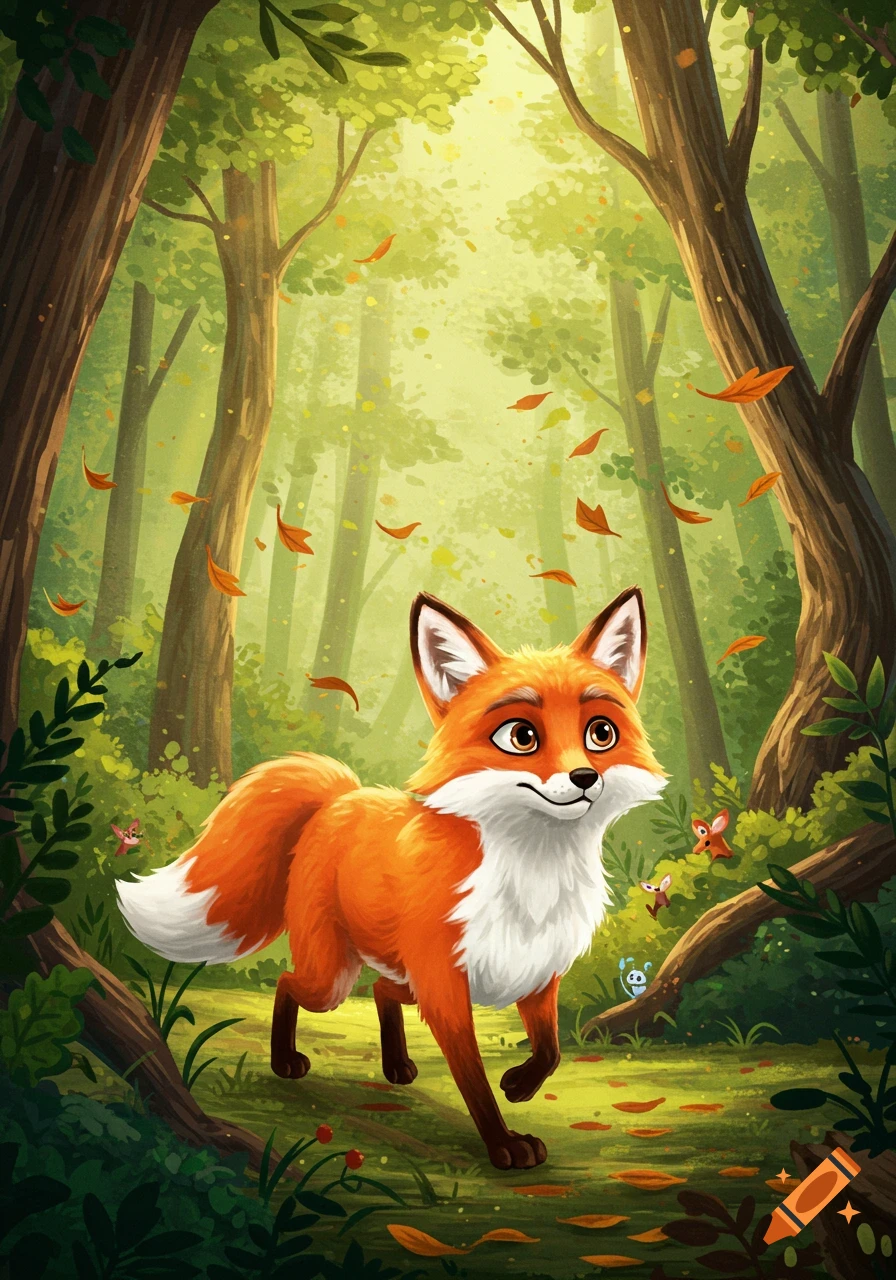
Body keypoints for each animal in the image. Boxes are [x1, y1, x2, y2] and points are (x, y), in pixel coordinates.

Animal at [117, 586, 666, 1170]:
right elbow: (473, 1080)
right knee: (290, 983)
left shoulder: (537, 975)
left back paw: (395, 1066)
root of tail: (339, 797)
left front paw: (520, 1085)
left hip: (398, 973)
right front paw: (503, 1144)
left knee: (381, 990)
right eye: (521, 736)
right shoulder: (446, 989)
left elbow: (551, 1051)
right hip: (333, 976)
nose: (586, 777)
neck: (533, 877)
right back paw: (285, 1061)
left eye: (601, 733)